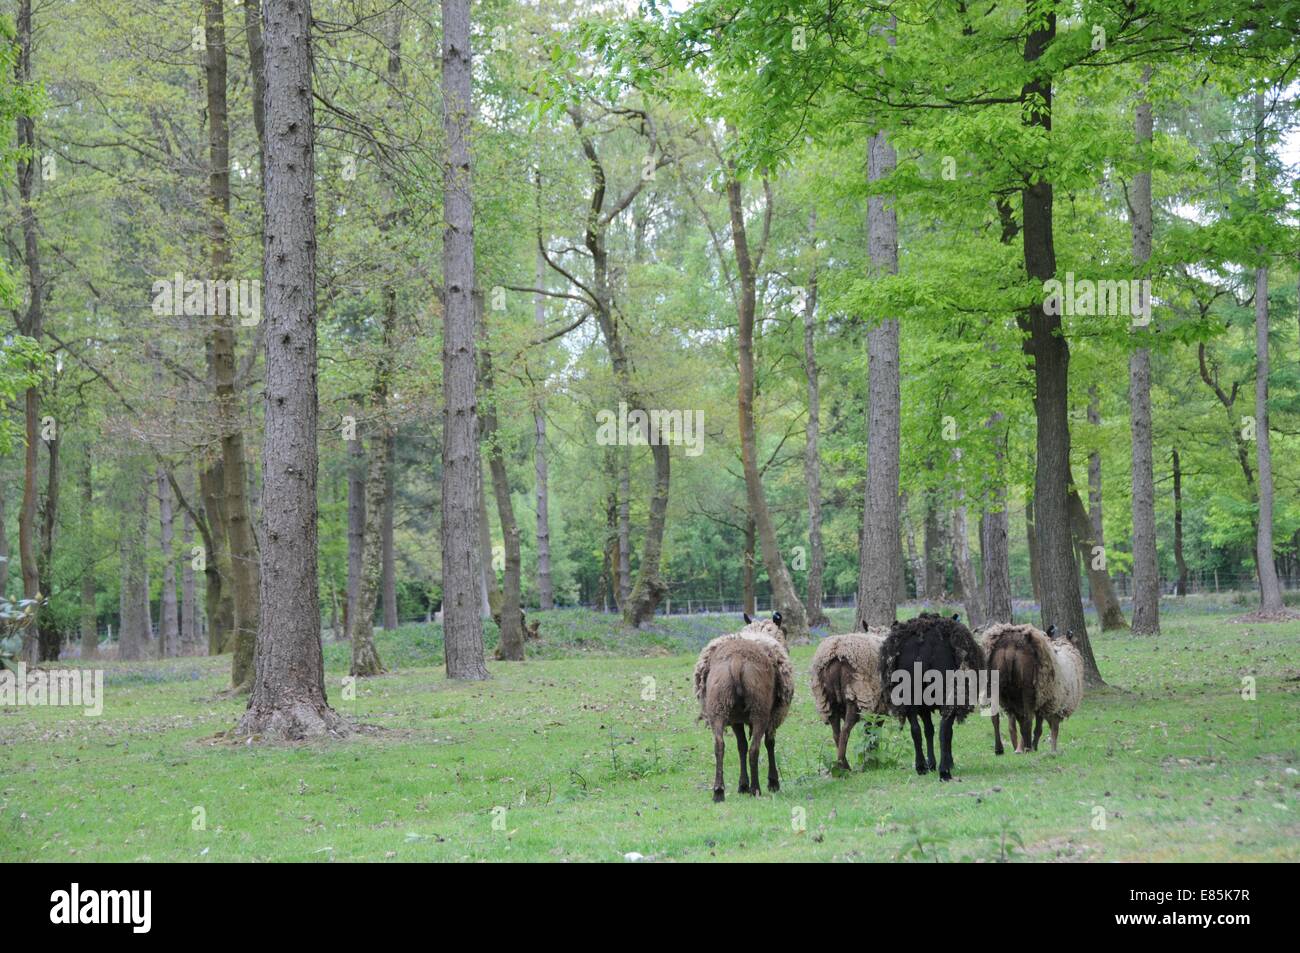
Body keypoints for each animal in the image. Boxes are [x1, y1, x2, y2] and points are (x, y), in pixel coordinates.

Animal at [693, 612, 794, 801]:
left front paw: (742, 785)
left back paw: (718, 791)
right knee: (755, 749)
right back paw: (756, 789)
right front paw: (773, 782)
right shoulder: (772, 716)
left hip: (719, 706)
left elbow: (741, 747)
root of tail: (736, 660)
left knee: (719, 745)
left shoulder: (736, 720)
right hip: (759, 710)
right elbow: (769, 744)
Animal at [809, 627, 891, 771]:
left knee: (836, 733)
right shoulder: (878, 709)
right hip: (856, 695)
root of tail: (836, 652)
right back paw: (844, 766)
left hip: (826, 700)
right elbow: (873, 733)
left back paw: (843, 766)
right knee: (845, 731)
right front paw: (872, 759)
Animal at [879, 612, 985, 781]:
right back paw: (944, 771)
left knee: (915, 729)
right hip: (947, 690)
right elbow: (945, 731)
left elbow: (928, 730)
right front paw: (946, 762)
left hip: (909, 692)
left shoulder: (924, 706)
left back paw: (921, 766)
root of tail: (924, 644)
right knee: (944, 730)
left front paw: (931, 763)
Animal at [979, 622, 1084, 754]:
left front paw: (1020, 747)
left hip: (995, 685)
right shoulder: (1044, 699)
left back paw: (1000, 749)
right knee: (1028, 719)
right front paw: (1033, 746)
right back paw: (1028, 747)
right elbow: (1039, 728)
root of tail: (1010, 645)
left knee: (996, 718)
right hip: (1028, 688)